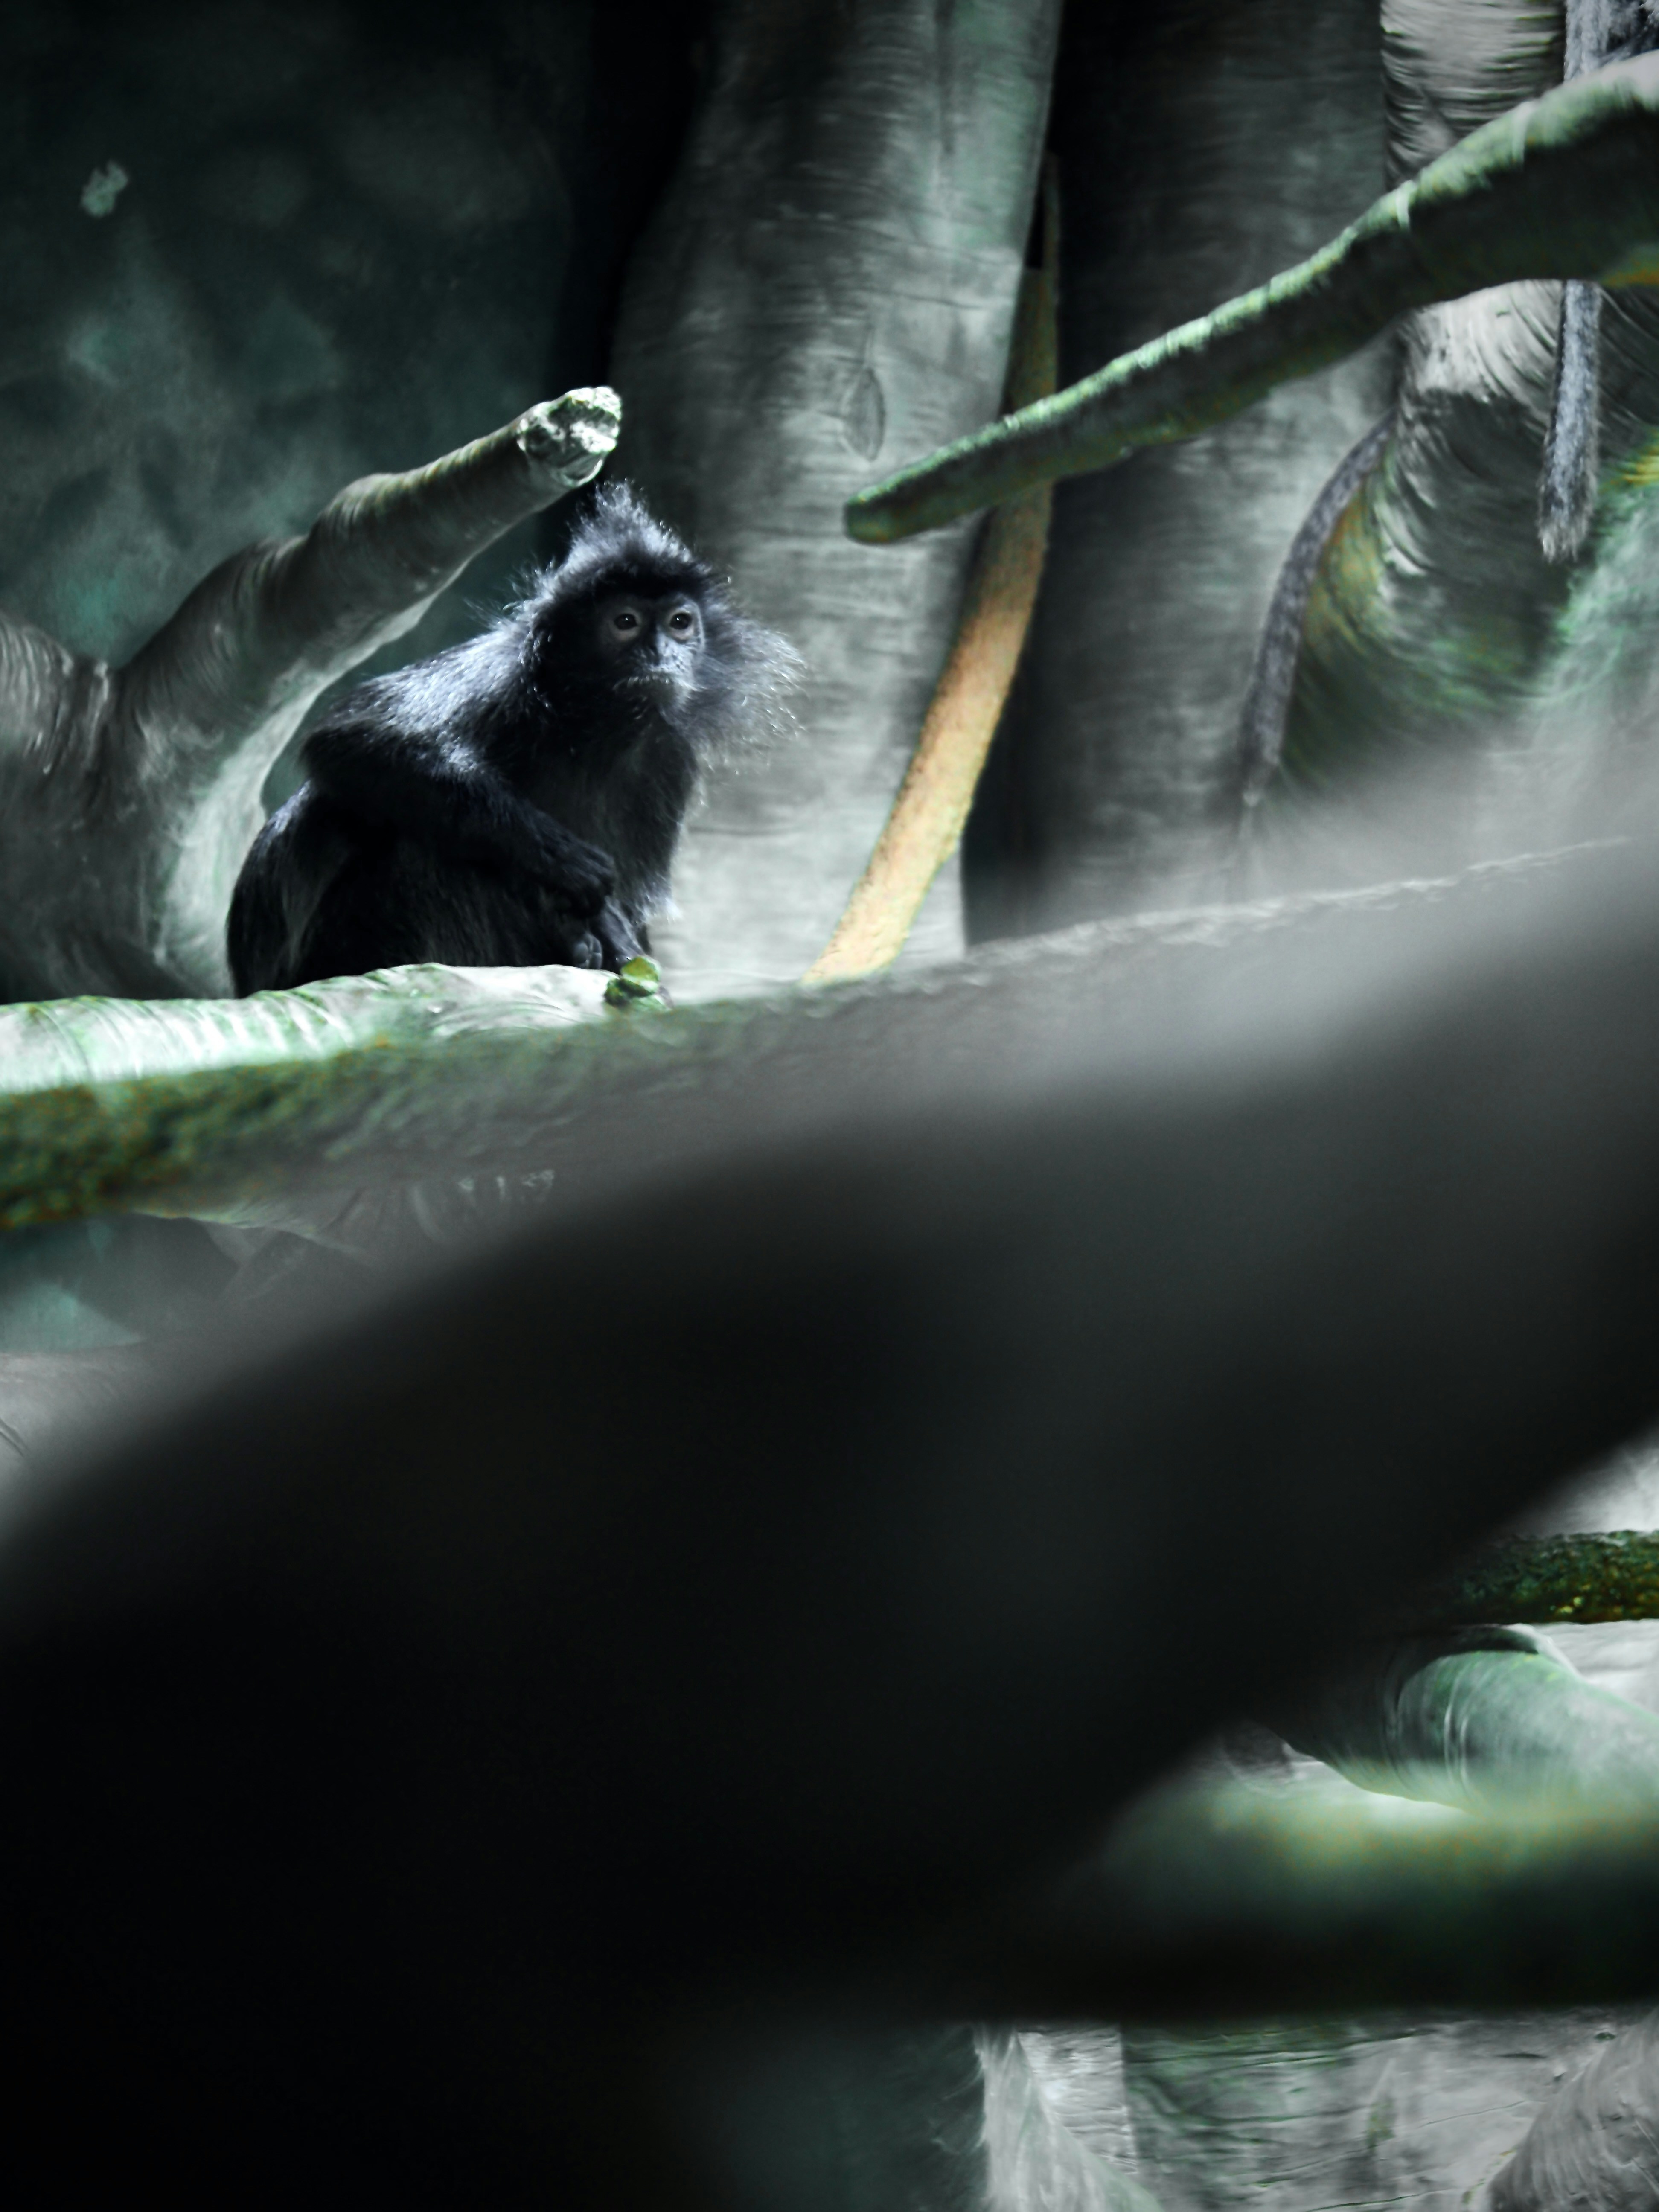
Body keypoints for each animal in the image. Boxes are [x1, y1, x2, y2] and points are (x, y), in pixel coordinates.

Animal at [226, 484, 801, 994]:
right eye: (626, 622)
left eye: (681, 623)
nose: (661, 656)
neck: (594, 727)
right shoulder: (500, 677)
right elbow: (353, 740)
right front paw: (567, 863)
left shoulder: (667, 759)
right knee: (422, 847)